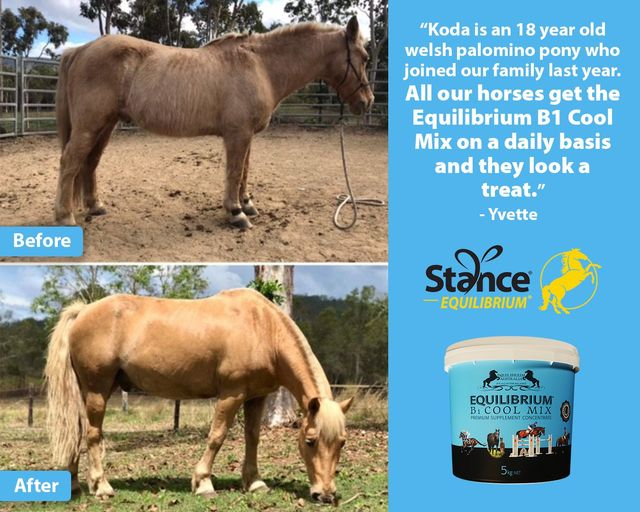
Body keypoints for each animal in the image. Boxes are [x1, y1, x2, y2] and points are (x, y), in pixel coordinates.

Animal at [44, 289, 354, 504]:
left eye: (341, 442)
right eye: (310, 441)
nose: (325, 495)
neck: (263, 328)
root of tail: (83, 311)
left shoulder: (256, 397)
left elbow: (252, 438)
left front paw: (255, 482)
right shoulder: (231, 394)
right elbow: (217, 436)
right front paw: (203, 483)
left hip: (88, 392)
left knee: (77, 431)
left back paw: (74, 484)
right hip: (98, 390)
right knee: (93, 435)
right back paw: (102, 487)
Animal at [53, 18, 374, 229]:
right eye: (365, 57)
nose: (367, 101)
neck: (262, 67)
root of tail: (80, 50)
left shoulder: (248, 136)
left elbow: (244, 170)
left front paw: (247, 204)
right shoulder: (237, 135)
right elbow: (233, 172)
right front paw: (236, 213)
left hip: (105, 125)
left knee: (90, 162)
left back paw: (95, 207)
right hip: (89, 125)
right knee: (70, 162)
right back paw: (65, 216)